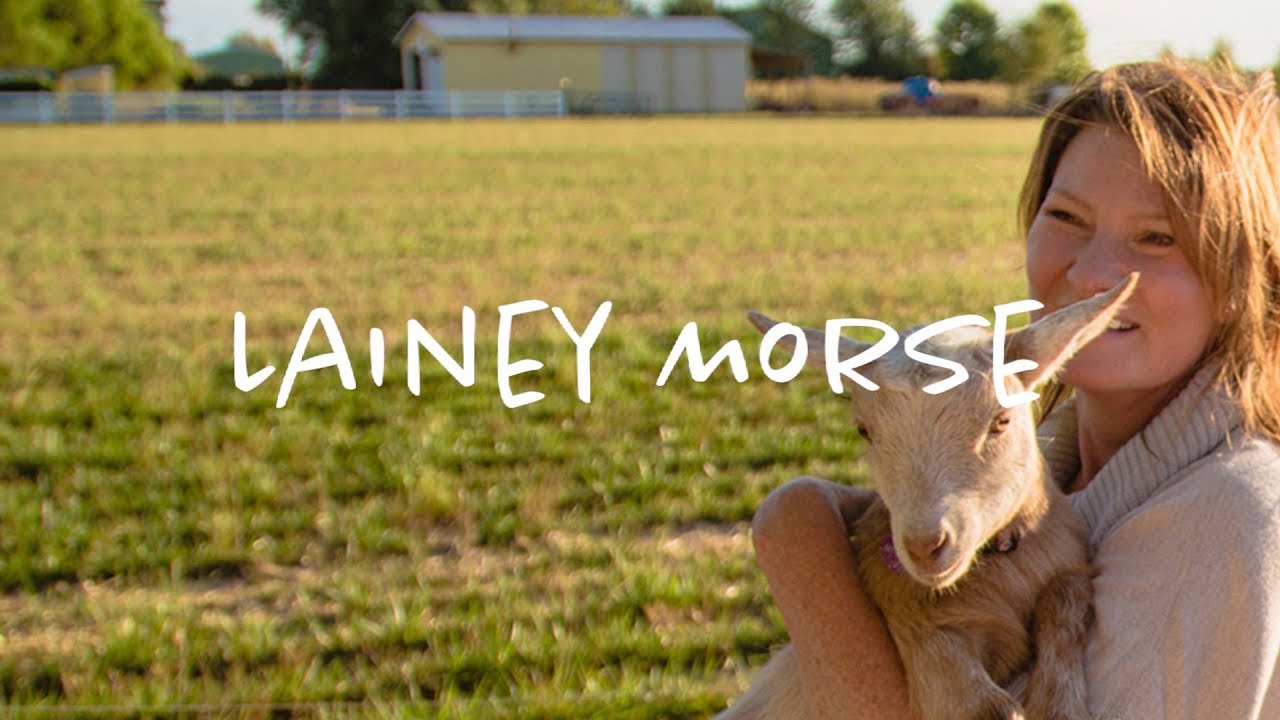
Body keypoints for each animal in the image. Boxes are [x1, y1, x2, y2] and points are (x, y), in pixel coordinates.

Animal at [718, 273, 1139, 720]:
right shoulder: (917, 628)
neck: (1000, 571)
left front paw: (1059, 704)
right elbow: (985, 707)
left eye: (1000, 421)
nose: (924, 547)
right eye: (864, 430)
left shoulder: (1062, 559)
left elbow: (1066, 594)